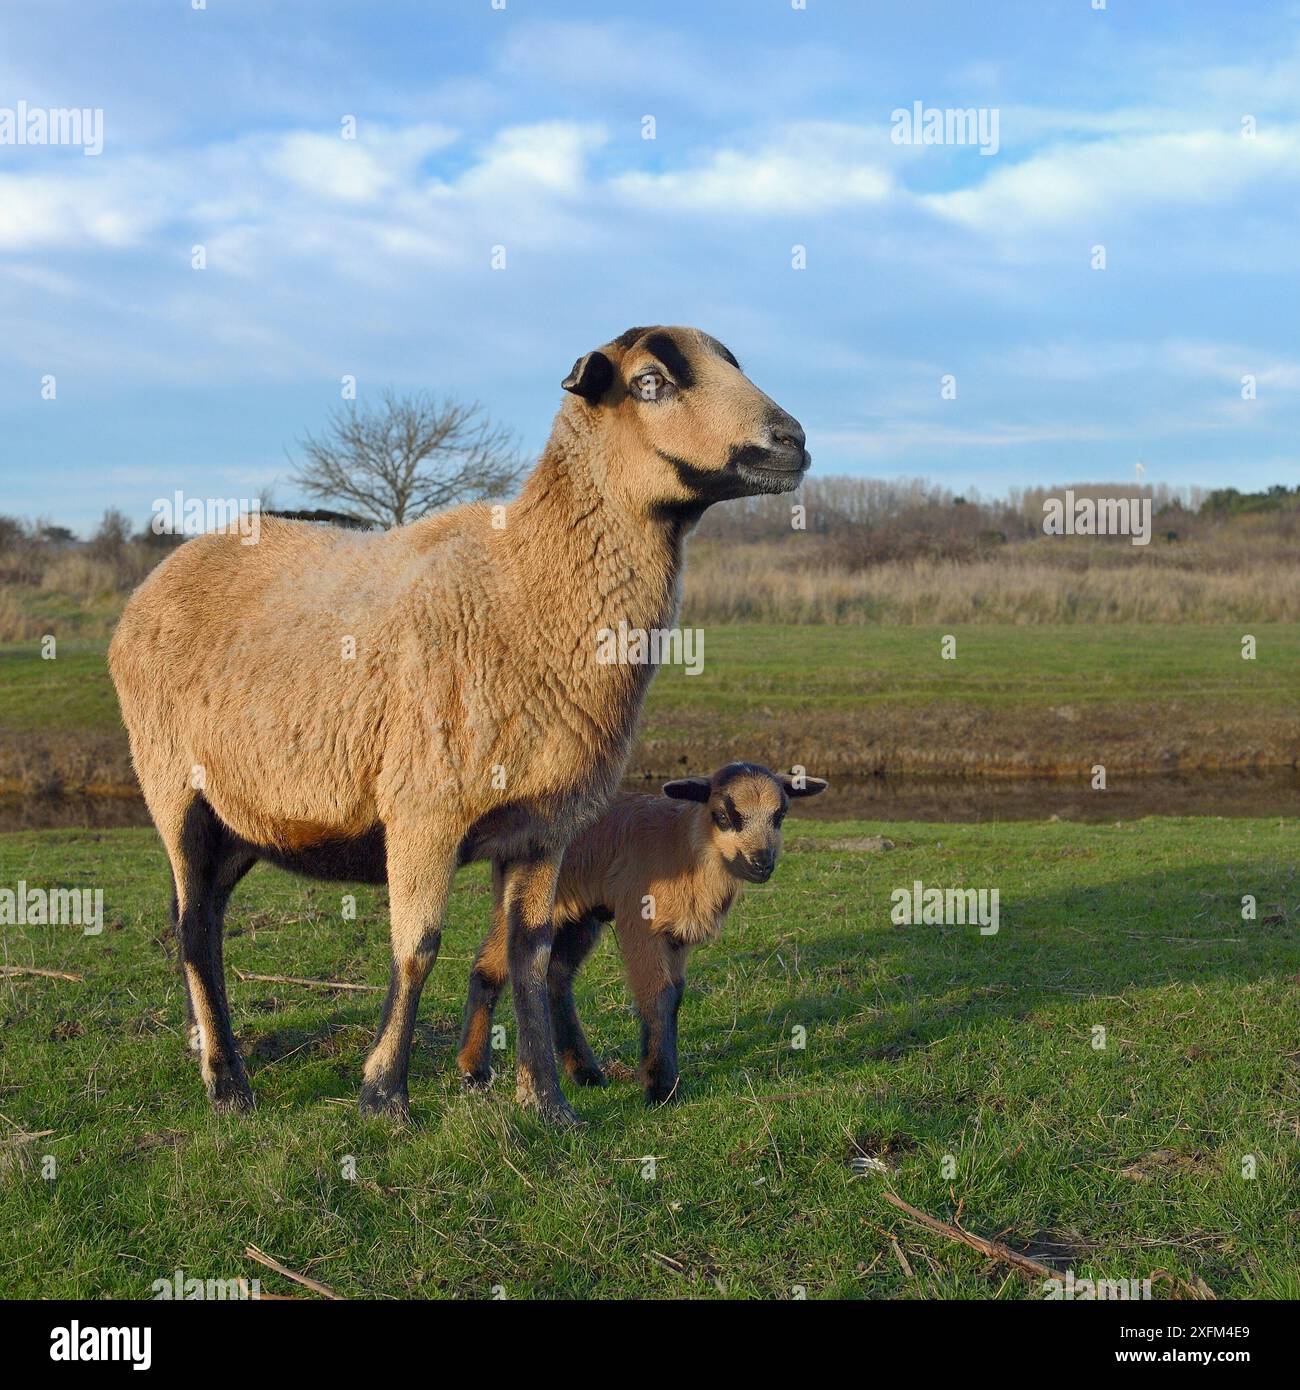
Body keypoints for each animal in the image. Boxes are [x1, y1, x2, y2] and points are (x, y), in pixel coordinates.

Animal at [457, 763, 828, 1104]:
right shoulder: (639, 923)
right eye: (723, 816)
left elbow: (675, 997)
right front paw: (660, 1087)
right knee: (488, 969)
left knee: (557, 975)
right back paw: (474, 1070)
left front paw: (666, 1077)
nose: (762, 864)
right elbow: (657, 994)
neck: (684, 849)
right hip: (522, 898)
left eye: (780, 816)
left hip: (580, 915)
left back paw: (584, 1071)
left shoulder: (676, 937)